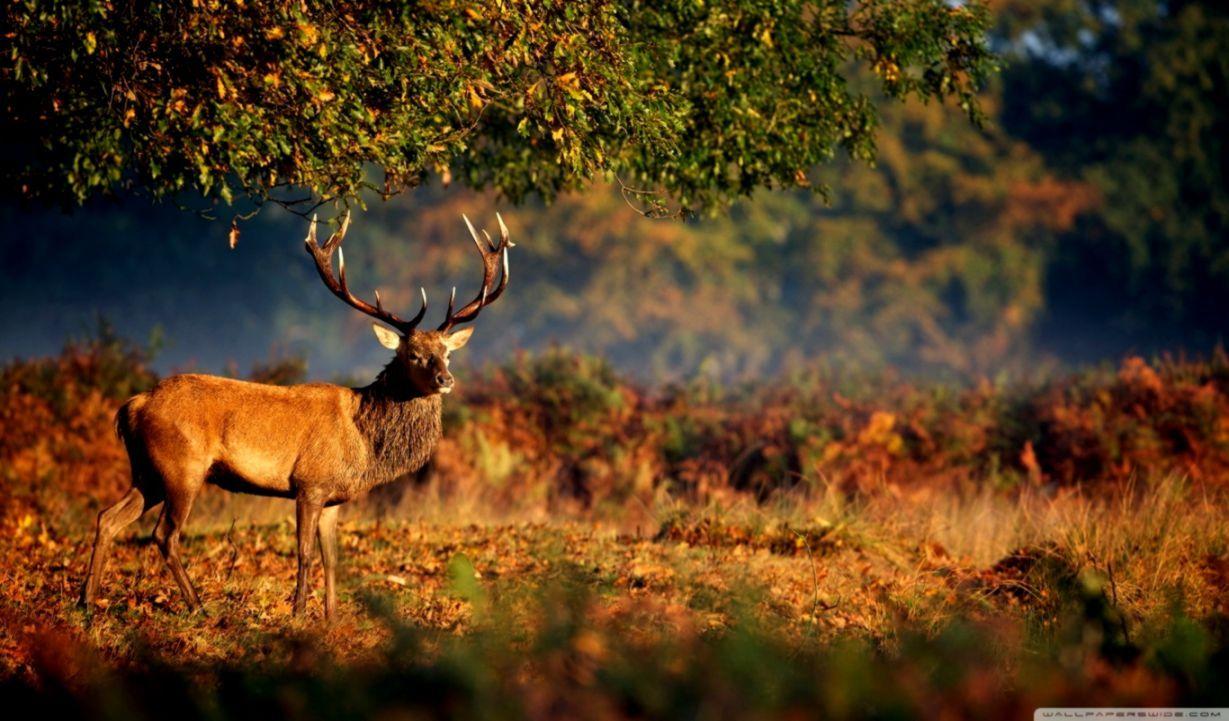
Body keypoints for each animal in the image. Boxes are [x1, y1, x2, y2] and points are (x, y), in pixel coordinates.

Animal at [79, 212, 512, 618]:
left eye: (447, 352)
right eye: (413, 354)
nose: (445, 379)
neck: (364, 443)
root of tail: (133, 406)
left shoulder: (335, 498)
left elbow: (332, 558)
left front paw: (332, 618)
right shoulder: (309, 483)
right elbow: (303, 553)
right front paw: (299, 612)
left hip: (148, 472)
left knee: (108, 518)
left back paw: (87, 602)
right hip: (182, 467)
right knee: (164, 535)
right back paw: (198, 605)